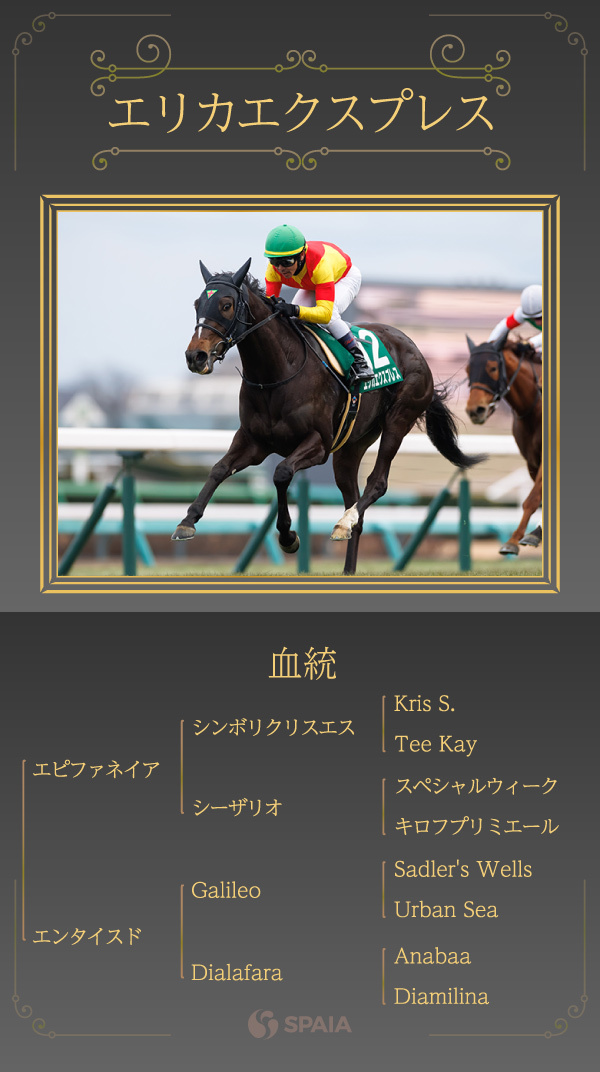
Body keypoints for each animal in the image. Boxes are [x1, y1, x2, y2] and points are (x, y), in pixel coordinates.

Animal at [171, 258, 485, 575]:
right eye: (198, 303)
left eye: (226, 305)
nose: (195, 356)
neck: (276, 372)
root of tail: (414, 348)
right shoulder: (253, 441)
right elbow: (219, 469)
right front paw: (187, 522)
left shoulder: (318, 443)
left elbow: (282, 473)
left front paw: (288, 537)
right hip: (350, 447)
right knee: (355, 502)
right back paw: (348, 563)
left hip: (398, 420)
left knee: (377, 483)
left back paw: (344, 521)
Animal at [465, 333, 542, 556]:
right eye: (467, 369)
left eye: (492, 368)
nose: (475, 410)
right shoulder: (532, 461)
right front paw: (529, 535)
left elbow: (532, 498)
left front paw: (516, 540)